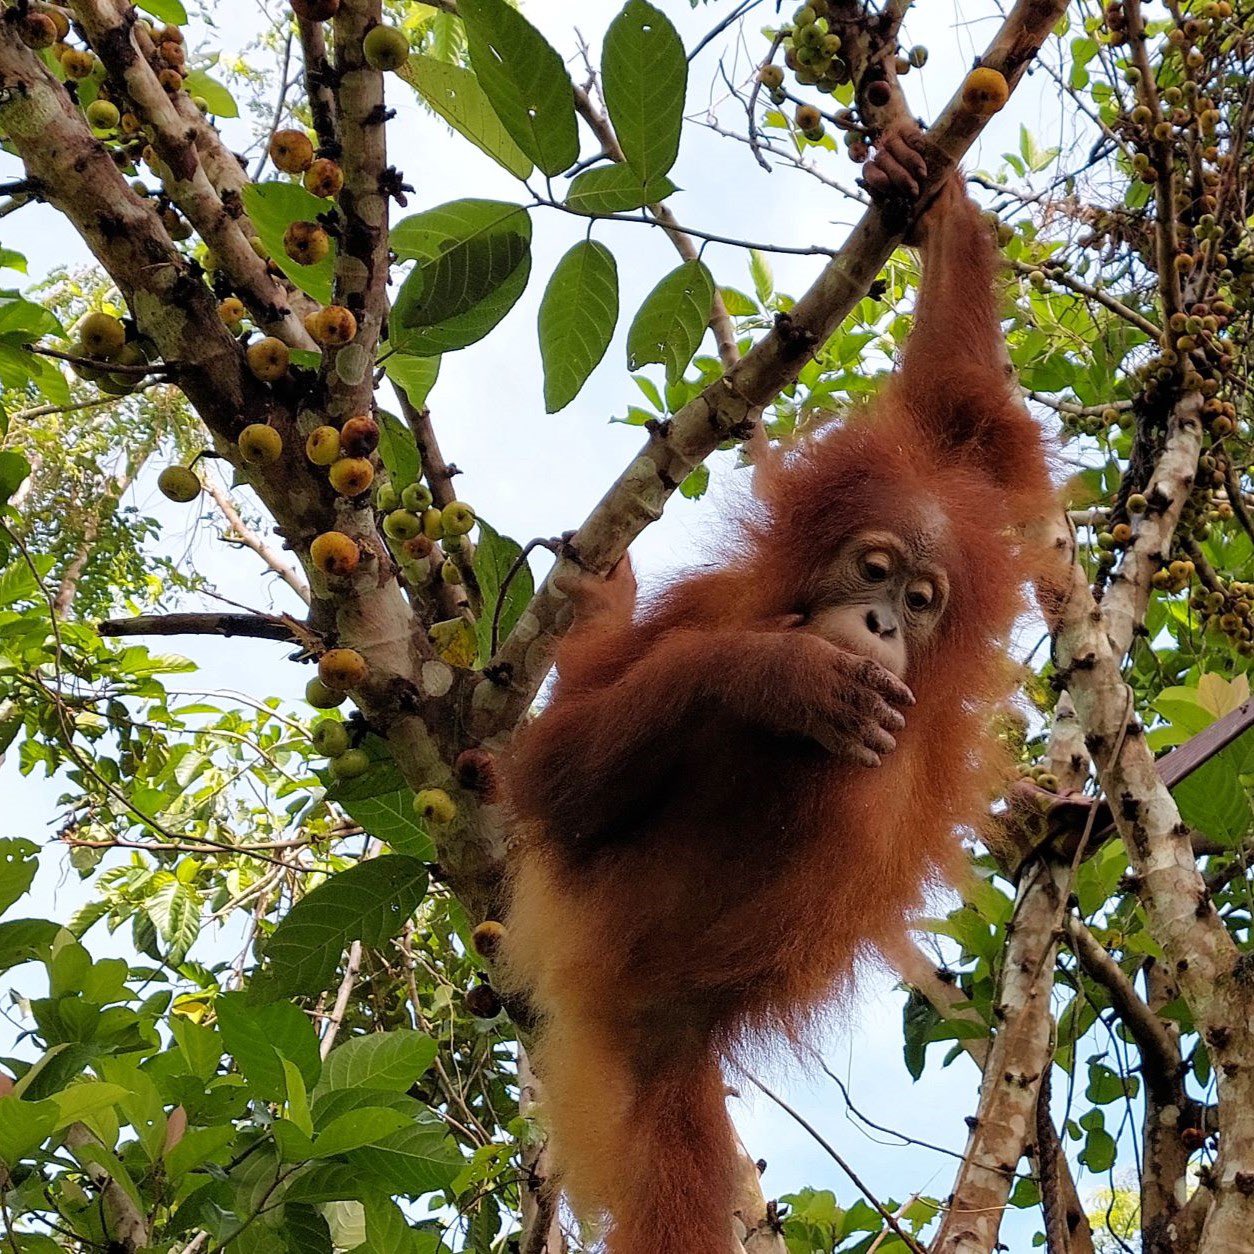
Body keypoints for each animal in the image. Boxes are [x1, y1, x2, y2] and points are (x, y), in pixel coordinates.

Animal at [498, 127, 1056, 1254]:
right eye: (871, 570)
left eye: (922, 601)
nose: (879, 627)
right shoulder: (723, 604)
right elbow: (552, 775)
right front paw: (781, 679)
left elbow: (964, 413)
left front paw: (943, 215)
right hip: (589, 915)